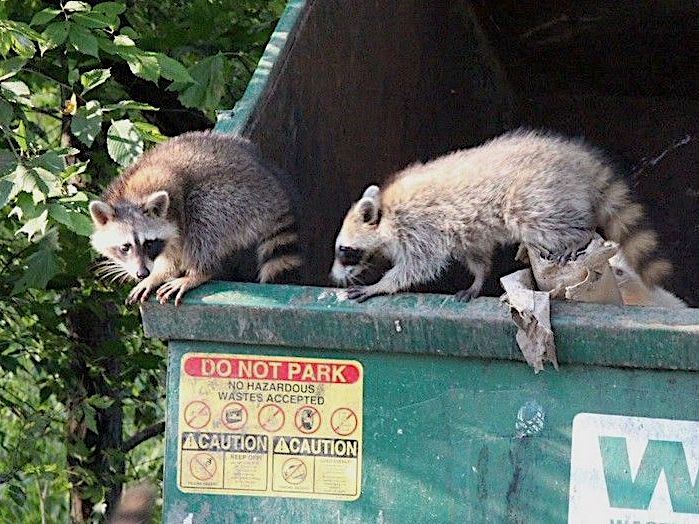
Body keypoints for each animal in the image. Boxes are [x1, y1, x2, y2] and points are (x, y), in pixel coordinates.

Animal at [90, 131, 302, 305]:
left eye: (149, 243)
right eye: (125, 247)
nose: (142, 273)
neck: (129, 196)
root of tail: (276, 192)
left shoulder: (175, 208)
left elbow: (176, 251)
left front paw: (160, 274)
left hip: (238, 198)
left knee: (203, 215)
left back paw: (200, 272)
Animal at [331, 129, 671, 302]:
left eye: (343, 250)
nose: (333, 277)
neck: (386, 210)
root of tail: (578, 161)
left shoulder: (419, 228)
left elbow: (418, 266)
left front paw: (381, 285)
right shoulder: (462, 231)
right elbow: (476, 255)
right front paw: (479, 279)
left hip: (537, 194)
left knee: (539, 219)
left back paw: (578, 236)